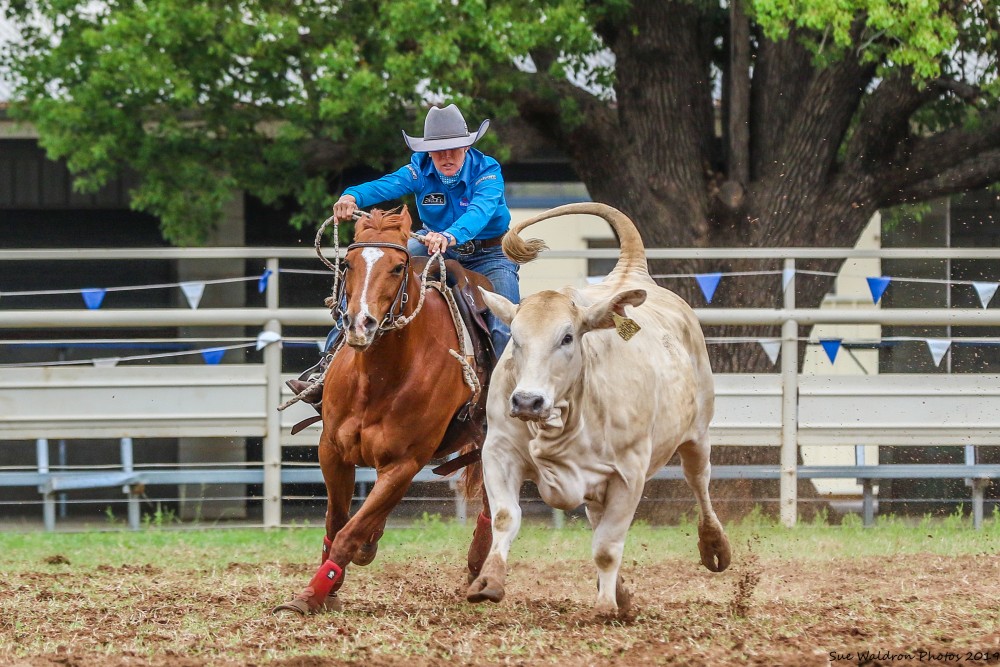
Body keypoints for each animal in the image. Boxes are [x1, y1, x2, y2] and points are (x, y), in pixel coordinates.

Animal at [275, 207, 495, 615]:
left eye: (396, 267)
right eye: (348, 263)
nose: (360, 324)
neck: (379, 377)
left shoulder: (404, 465)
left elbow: (349, 532)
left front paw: (313, 593)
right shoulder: (332, 450)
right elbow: (337, 522)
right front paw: (326, 588)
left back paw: (479, 566)